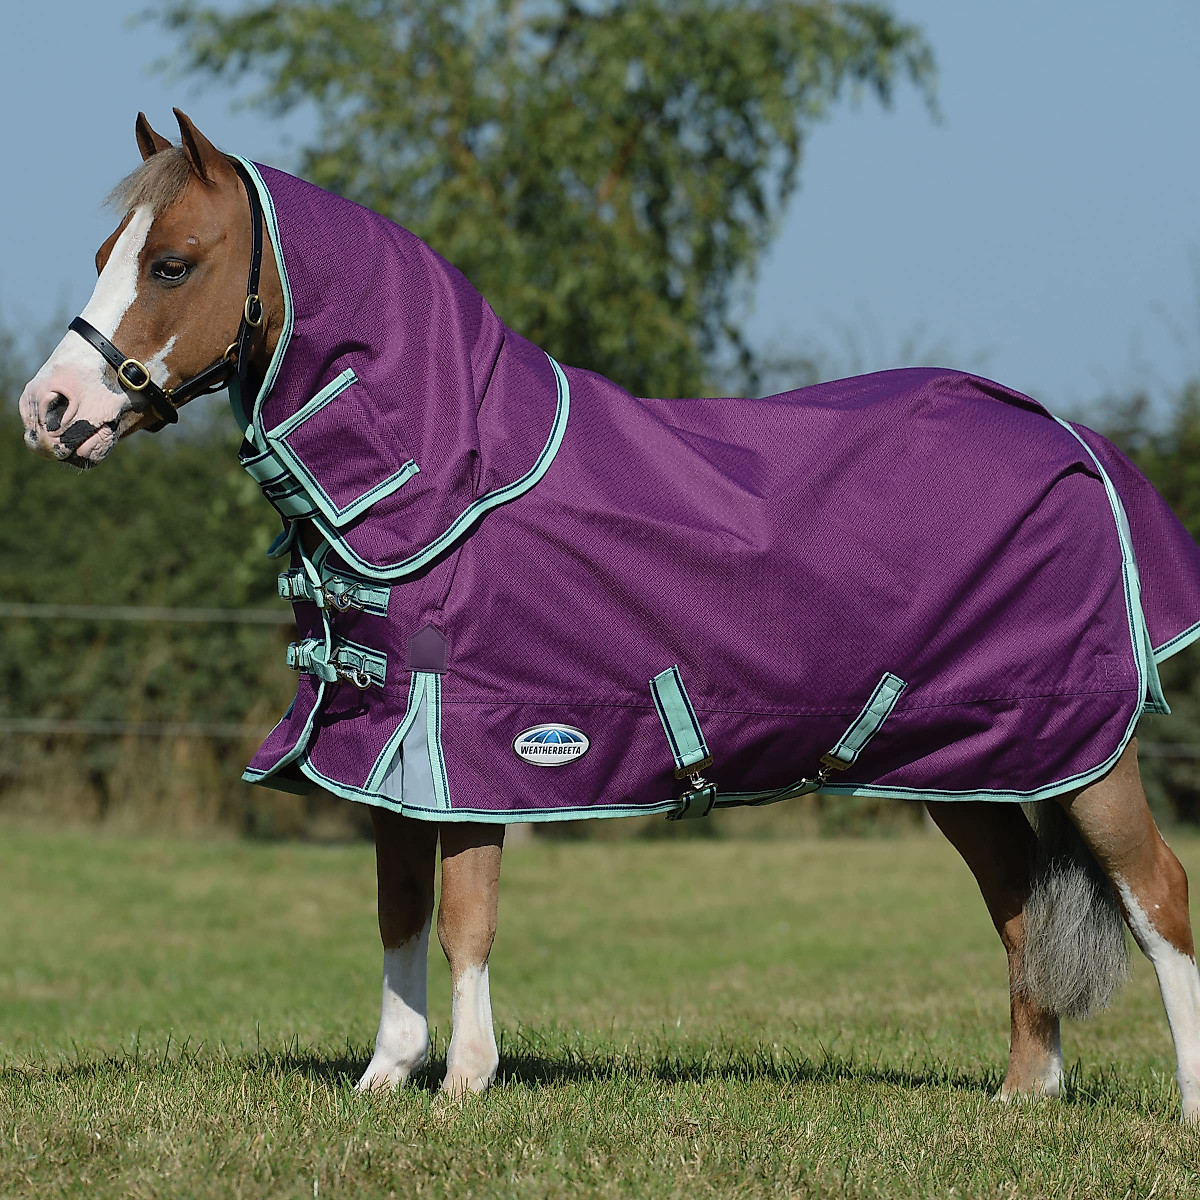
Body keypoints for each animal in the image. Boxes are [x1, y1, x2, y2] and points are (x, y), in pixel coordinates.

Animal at [18, 109, 1200, 1119]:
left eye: (172, 263)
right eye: (107, 255)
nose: (49, 411)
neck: (453, 477)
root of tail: (1071, 440)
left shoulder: (470, 745)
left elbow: (465, 921)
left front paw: (465, 1086)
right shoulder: (387, 746)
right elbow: (399, 914)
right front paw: (384, 1080)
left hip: (1084, 755)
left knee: (1159, 897)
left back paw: (1179, 1109)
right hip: (973, 761)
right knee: (1019, 907)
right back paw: (1023, 1097)